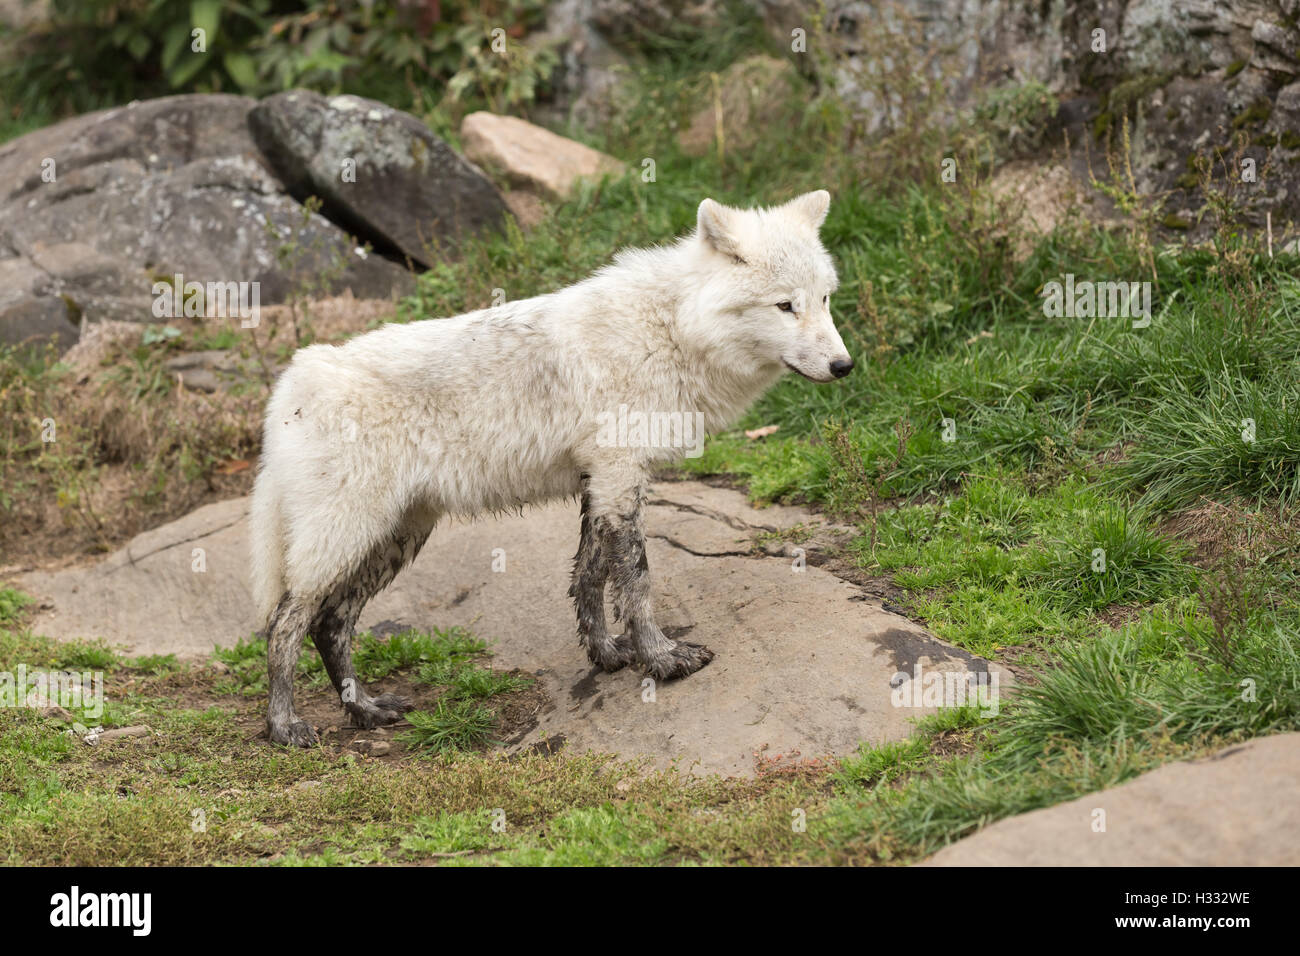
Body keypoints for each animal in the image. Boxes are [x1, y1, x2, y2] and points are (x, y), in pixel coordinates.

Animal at [251, 190, 853, 746]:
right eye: (784, 306)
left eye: (824, 299)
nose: (844, 366)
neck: (669, 328)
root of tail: (292, 384)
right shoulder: (619, 478)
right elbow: (636, 582)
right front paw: (662, 659)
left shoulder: (600, 484)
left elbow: (589, 578)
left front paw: (606, 655)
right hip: (349, 535)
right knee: (284, 623)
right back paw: (284, 727)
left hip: (398, 535)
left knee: (331, 624)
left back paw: (366, 711)